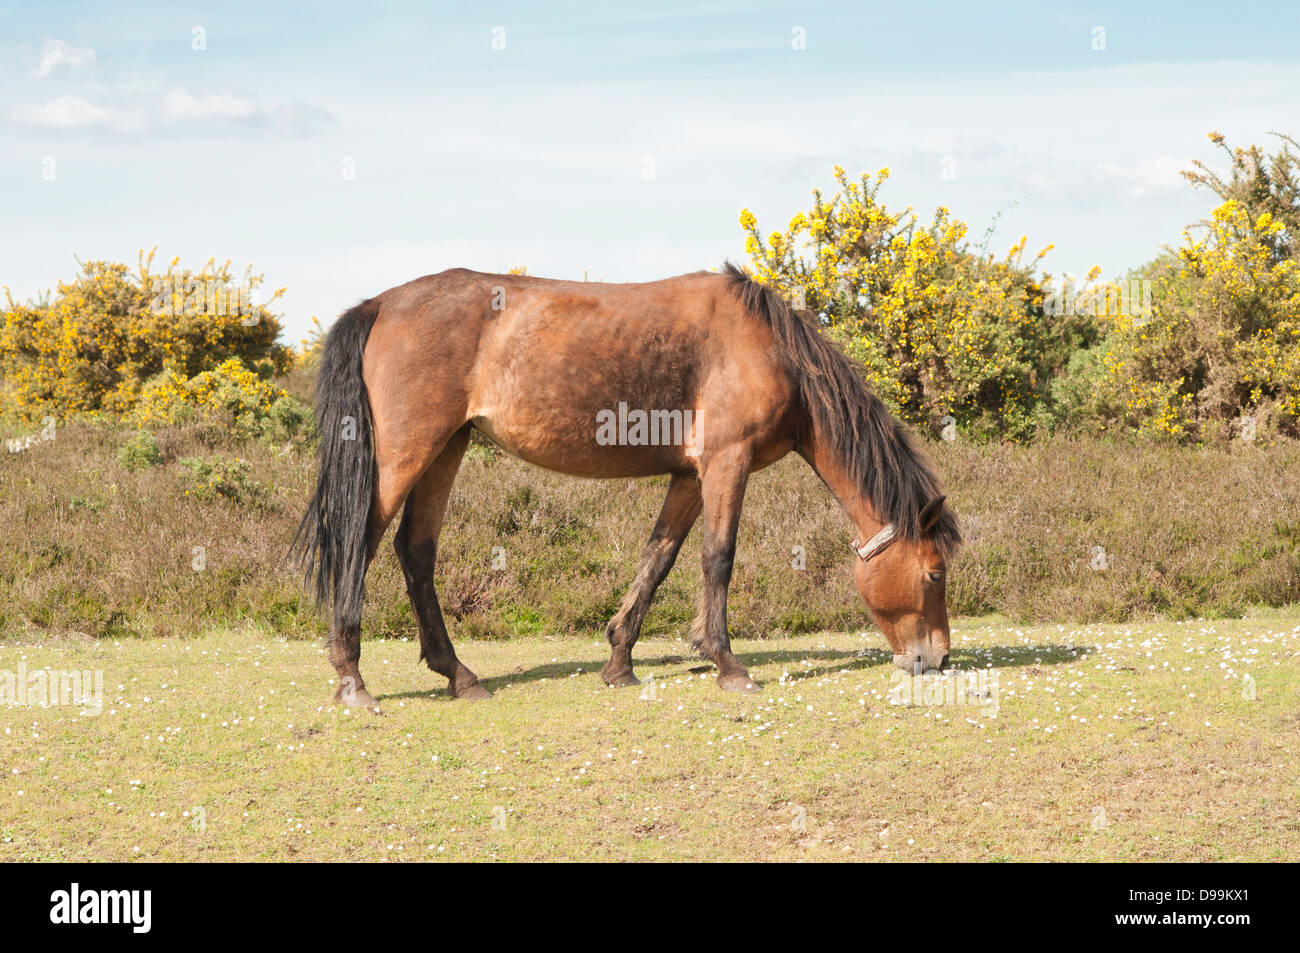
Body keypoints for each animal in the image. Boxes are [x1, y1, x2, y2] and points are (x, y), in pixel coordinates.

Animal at [291, 263, 960, 709]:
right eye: (934, 574)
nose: (938, 658)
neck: (771, 350)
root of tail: (381, 303)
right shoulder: (727, 461)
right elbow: (718, 558)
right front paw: (727, 663)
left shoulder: (690, 475)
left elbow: (658, 558)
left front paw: (619, 660)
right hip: (405, 457)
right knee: (359, 546)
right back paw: (353, 681)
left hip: (445, 450)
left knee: (415, 552)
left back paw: (458, 674)